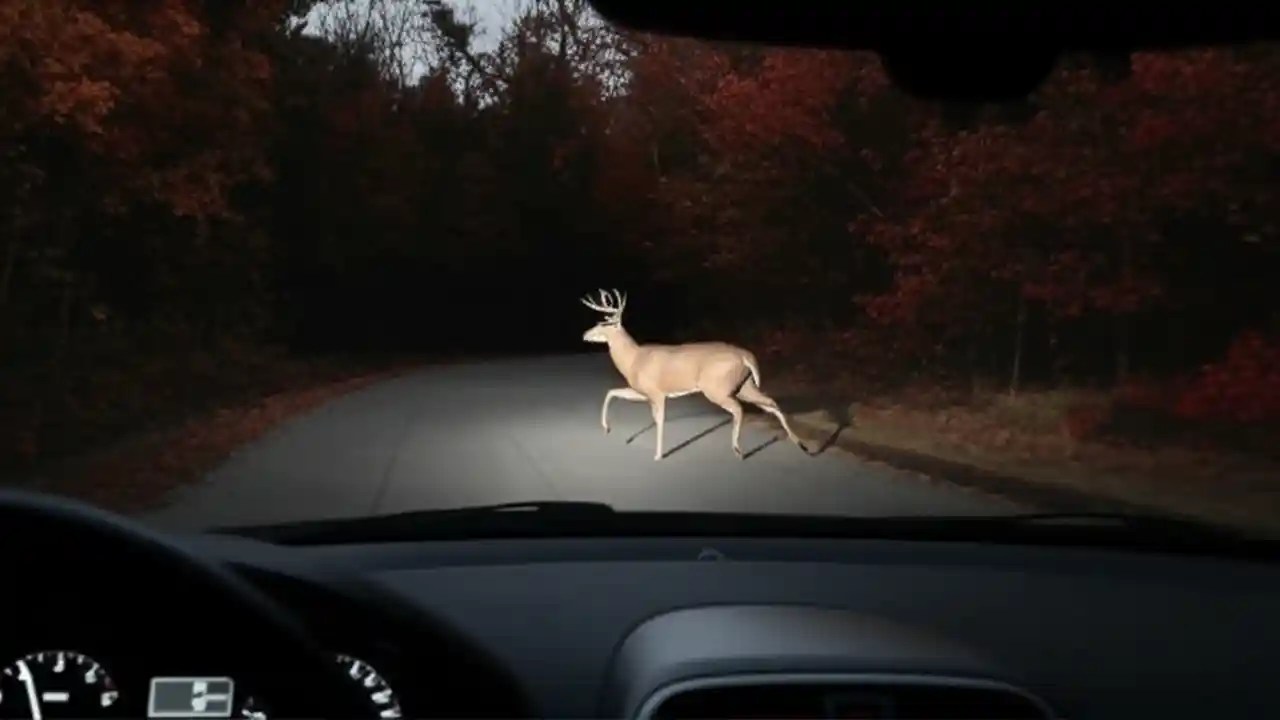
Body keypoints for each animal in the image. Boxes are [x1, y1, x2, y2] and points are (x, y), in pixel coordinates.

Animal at [581, 288, 810, 461]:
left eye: (603, 324)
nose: (585, 334)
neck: (634, 359)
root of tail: (746, 356)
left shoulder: (657, 392)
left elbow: (659, 420)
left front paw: (658, 455)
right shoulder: (642, 392)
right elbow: (611, 393)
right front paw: (607, 429)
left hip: (717, 387)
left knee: (739, 409)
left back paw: (738, 450)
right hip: (745, 385)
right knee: (771, 402)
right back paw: (802, 445)